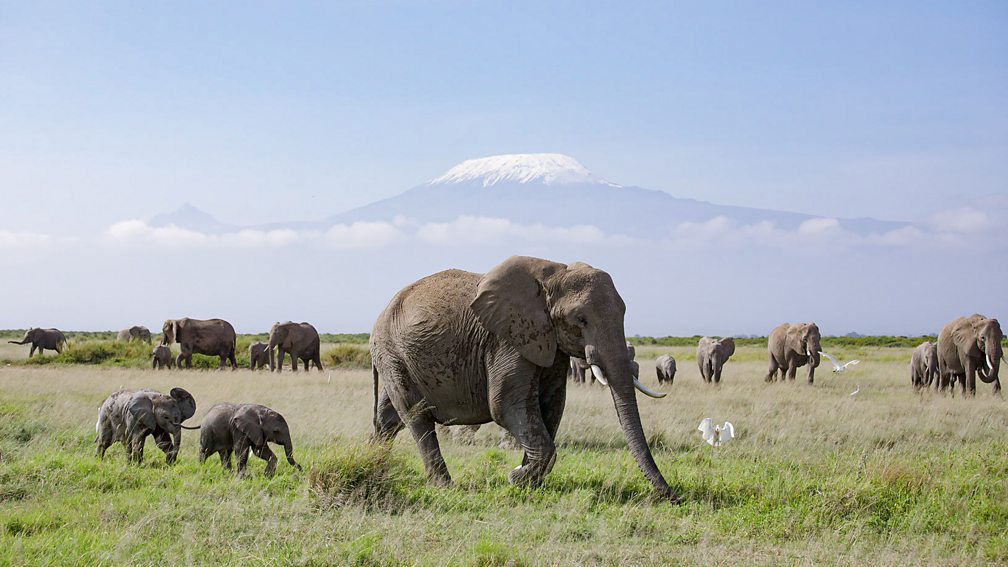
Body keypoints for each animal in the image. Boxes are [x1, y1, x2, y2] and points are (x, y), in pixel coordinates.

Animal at [370, 256, 673, 500]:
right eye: (580, 319)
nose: (673, 497)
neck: (553, 275)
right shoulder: (507, 339)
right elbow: (506, 405)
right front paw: (517, 477)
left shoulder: (551, 342)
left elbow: (551, 405)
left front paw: (529, 480)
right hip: (393, 352)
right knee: (416, 416)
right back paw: (444, 486)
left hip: (396, 358)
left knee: (388, 419)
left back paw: (376, 466)